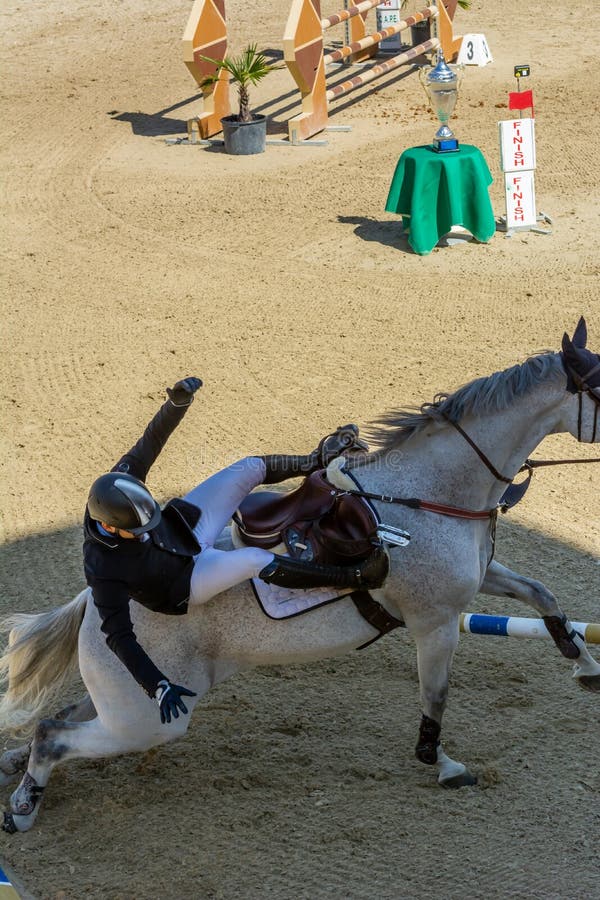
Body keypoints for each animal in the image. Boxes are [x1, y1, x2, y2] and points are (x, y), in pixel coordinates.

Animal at [1, 318, 599, 834]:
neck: (432, 492)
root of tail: (96, 603)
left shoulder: (479, 580)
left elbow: (542, 595)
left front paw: (584, 662)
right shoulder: (436, 623)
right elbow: (437, 696)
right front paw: (442, 763)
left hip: (130, 700)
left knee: (56, 722)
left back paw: (18, 775)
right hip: (152, 716)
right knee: (55, 736)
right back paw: (23, 808)